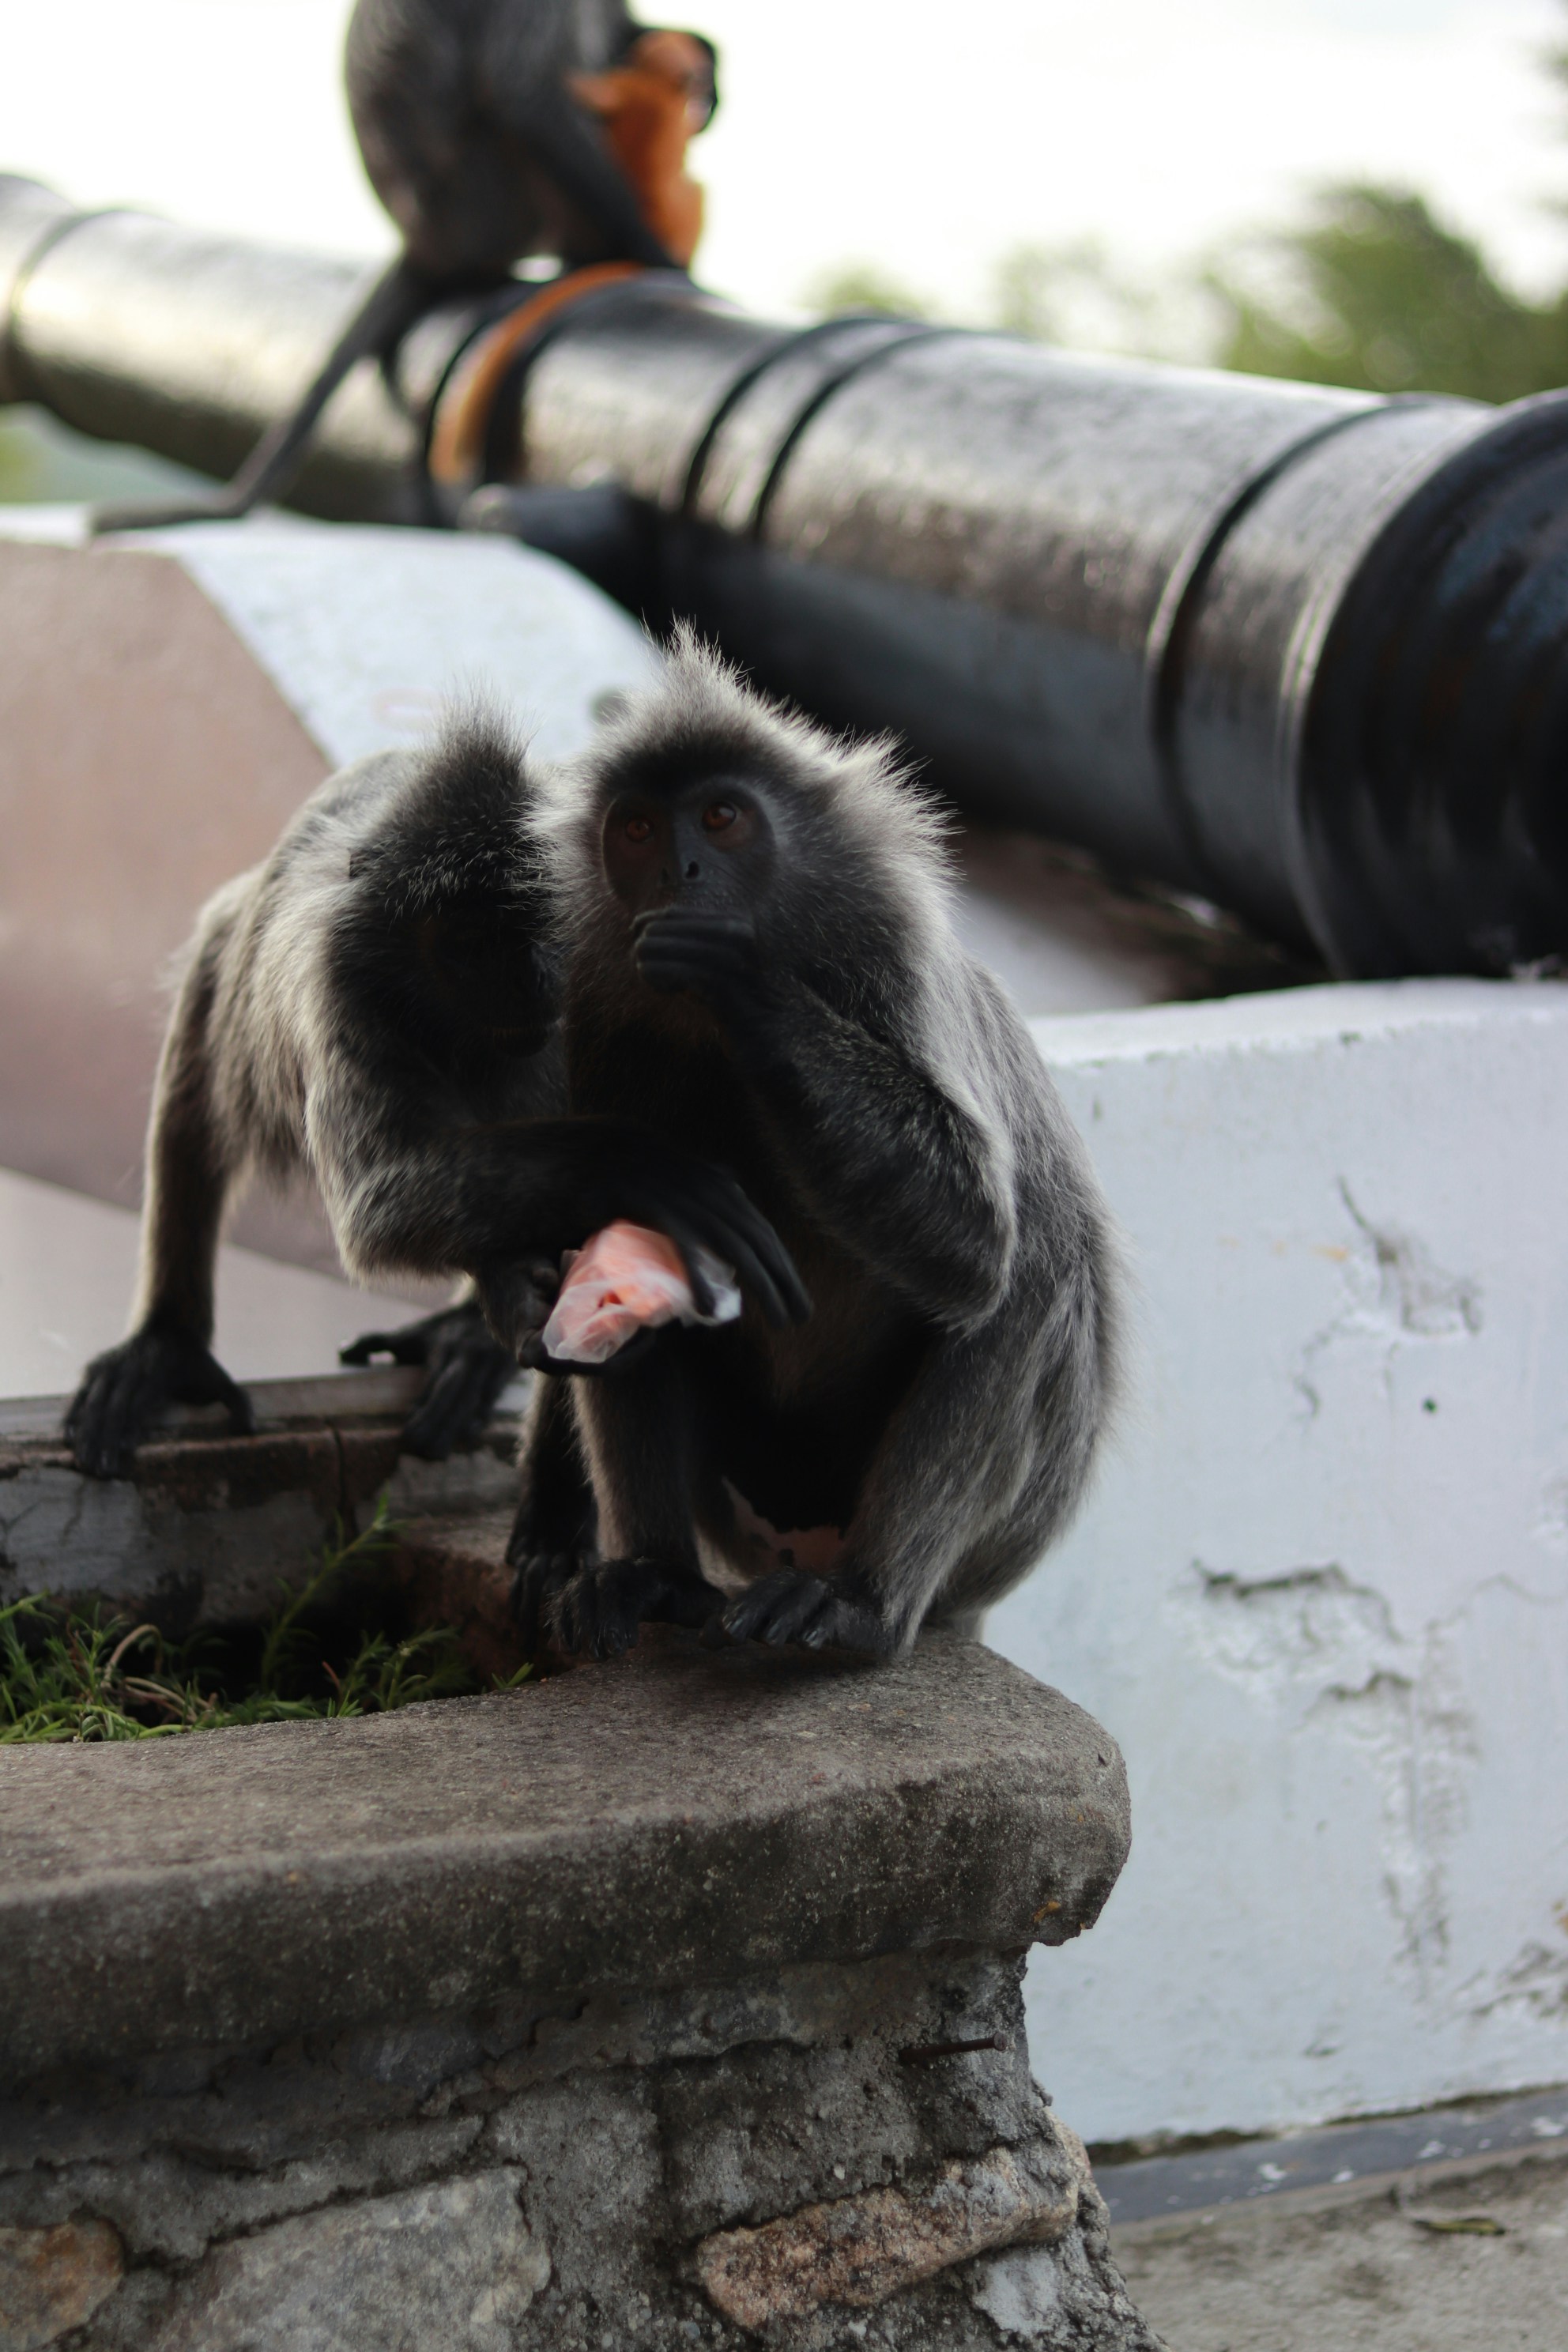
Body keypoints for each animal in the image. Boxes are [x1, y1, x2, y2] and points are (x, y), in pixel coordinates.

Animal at [64, 706, 808, 1508]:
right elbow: (378, 1205)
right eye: (471, 942)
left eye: (546, 925)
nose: (528, 985)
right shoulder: (342, 987)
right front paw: (647, 1173)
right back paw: (168, 1341)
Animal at [511, 635, 1122, 1663]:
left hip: (994, 1535)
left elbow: (973, 1247)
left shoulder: (890, 953)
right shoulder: (594, 1013)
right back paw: (656, 1579)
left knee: (1029, 1282)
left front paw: (745, 982)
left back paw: (863, 1606)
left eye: (720, 819)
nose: (679, 872)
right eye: (636, 830)